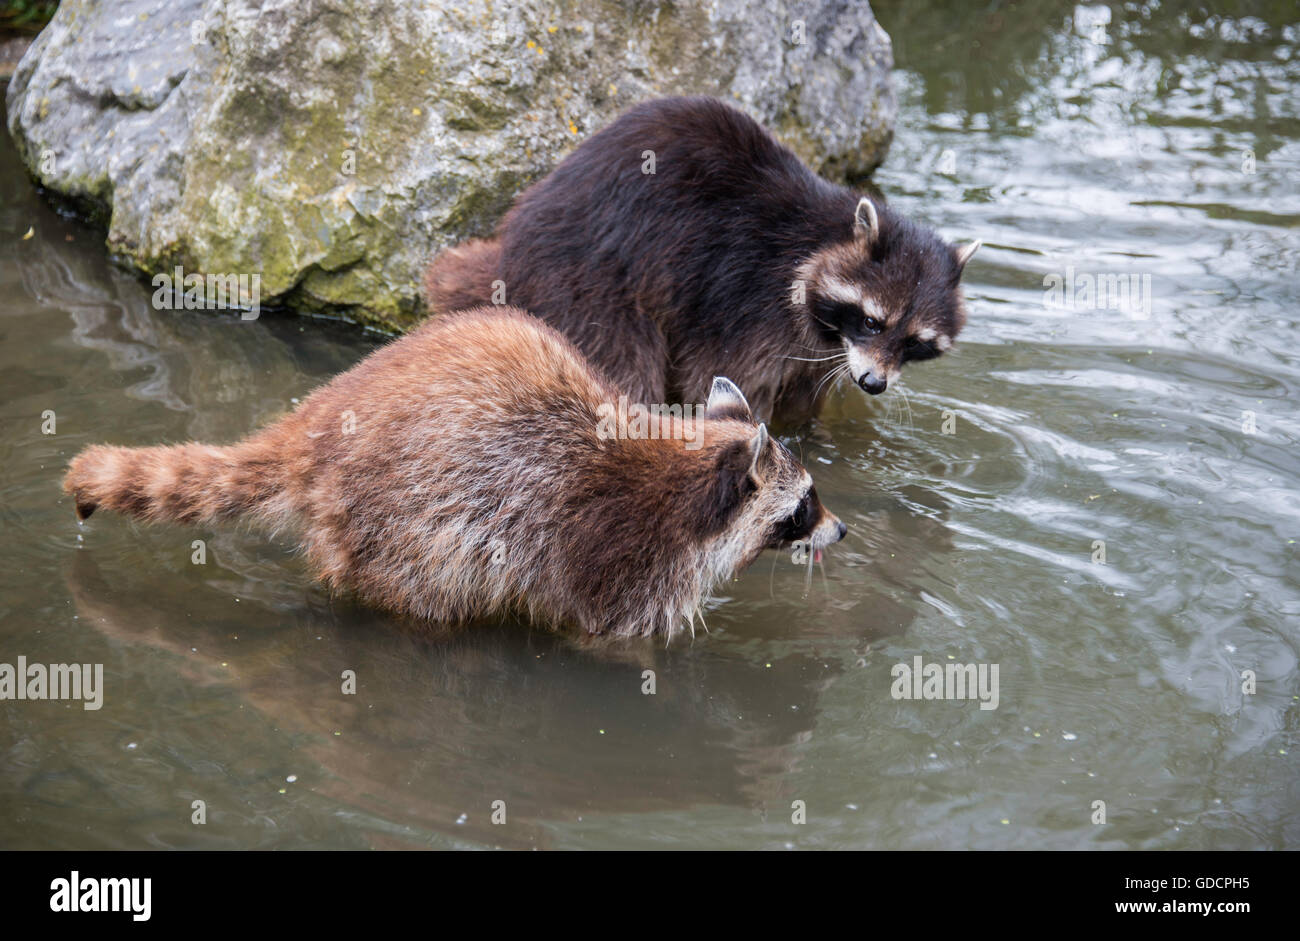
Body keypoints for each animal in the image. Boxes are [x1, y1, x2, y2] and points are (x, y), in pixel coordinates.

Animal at [64, 307, 844, 638]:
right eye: (805, 504)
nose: (839, 530)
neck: (690, 474)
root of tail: (318, 423)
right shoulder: (618, 552)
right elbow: (607, 636)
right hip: (405, 521)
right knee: (425, 586)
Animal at [424, 95, 980, 425]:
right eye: (871, 321)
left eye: (914, 342)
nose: (873, 384)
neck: (821, 236)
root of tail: (512, 244)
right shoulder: (748, 302)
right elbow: (721, 384)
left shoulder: (820, 351)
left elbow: (805, 400)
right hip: (590, 279)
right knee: (625, 366)